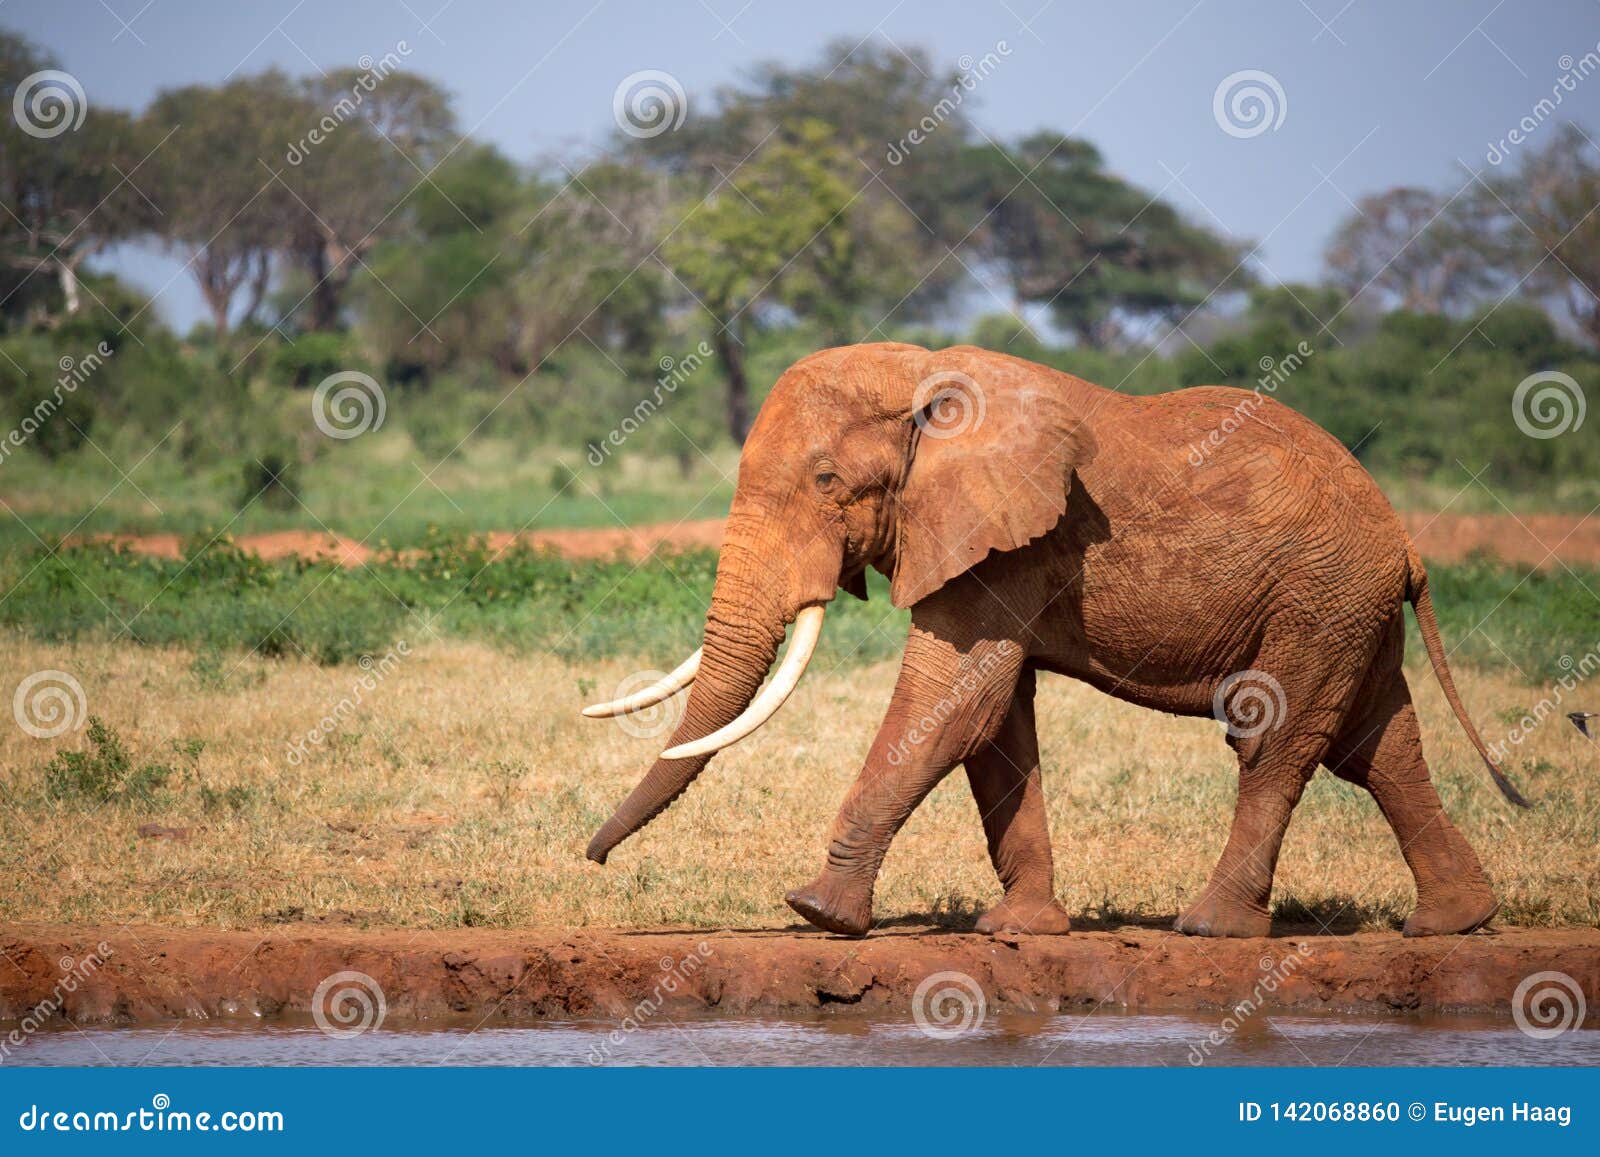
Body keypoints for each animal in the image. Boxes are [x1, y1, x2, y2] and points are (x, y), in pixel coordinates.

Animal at [581, 342, 1527, 939]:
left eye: (825, 481)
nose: (591, 857)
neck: (923, 375)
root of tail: (1405, 542)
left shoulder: (1009, 540)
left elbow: (950, 702)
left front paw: (817, 912)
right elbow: (996, 724)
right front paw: (1021, 929)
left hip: (1320, 595)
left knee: (1276, 739)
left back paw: (1209, 928)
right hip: (1346, 605)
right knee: (1378, 745)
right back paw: (1455, 922)